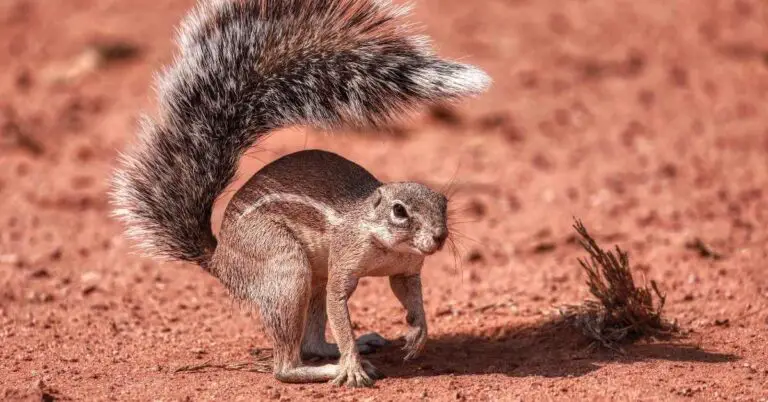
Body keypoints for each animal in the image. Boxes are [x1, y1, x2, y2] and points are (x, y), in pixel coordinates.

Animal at [111, 0, 489, 387]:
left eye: (444, 203)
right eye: (399, 211)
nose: (440, 237)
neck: (388, 244)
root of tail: (220, 259)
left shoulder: (406, 272)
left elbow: (409, 295)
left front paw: (418, 332)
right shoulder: (344, 261)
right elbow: (340, 309)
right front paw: (353, 367)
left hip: (310, 279)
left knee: (312, 341)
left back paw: (346, 348)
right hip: (285, 268)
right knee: (285, 366)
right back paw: (328, 368)